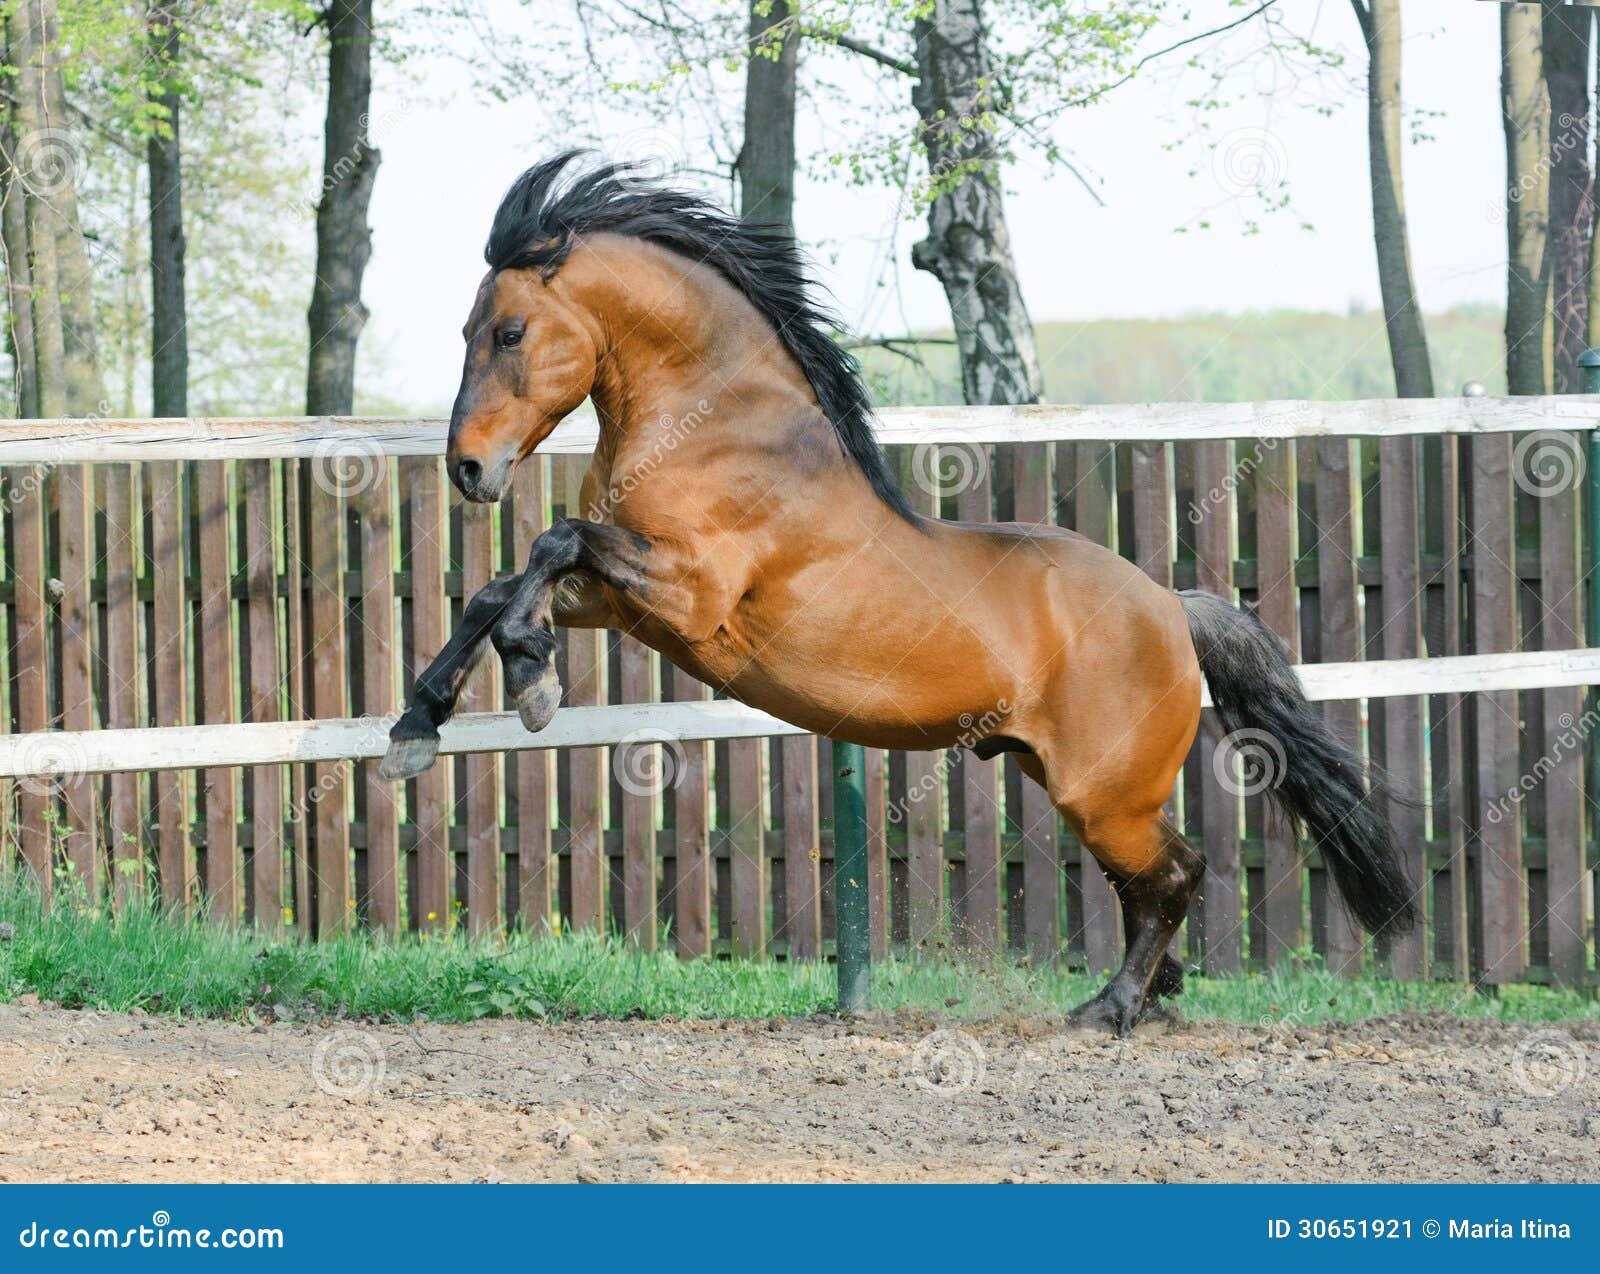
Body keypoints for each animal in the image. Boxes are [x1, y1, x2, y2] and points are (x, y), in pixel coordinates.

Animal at [380, 151, 1416, 1034]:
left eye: (509, 331)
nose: (469, 469)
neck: (716, 436)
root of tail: (1173, 608)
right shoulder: (624, 599)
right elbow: (496, 590)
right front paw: (415, 728)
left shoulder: (687, 594)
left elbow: (551, 541)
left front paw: (533, 683)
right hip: (1078, 785)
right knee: (1152, 884)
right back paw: (1153, 998)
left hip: (1103, 794)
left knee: (1178, 873)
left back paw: (1113, 1007)